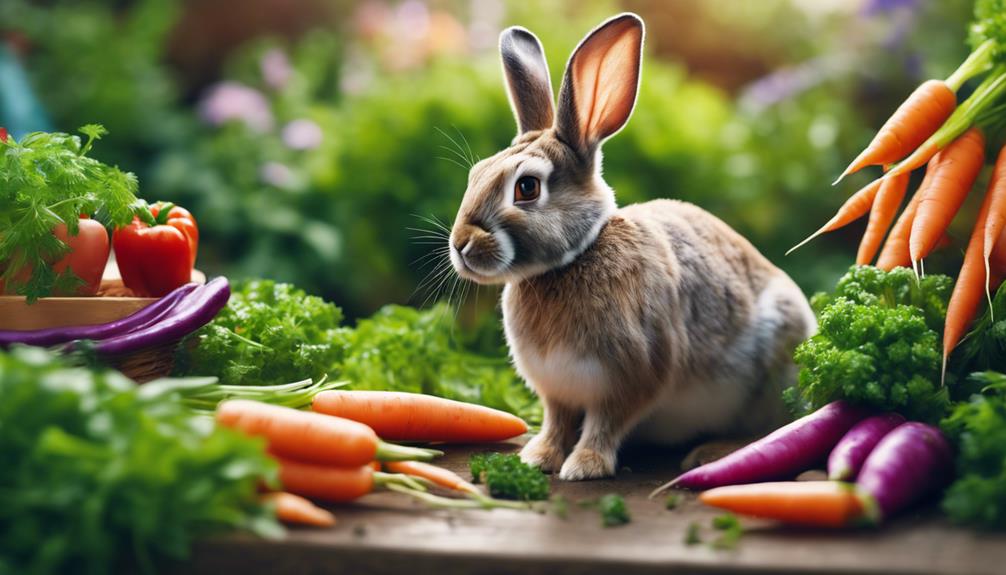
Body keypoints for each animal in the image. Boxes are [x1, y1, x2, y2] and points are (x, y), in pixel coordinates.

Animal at [447, 13, 817, 480]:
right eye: (476, 173)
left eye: (527, 188)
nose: (460, 244)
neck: (571, 261)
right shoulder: (557, 390)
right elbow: (556, 421)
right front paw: (538, 458)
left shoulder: (633, 376)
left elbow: (605, 424)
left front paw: (583, 467)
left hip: (773, 372)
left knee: (770, 429)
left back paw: (711, 454)